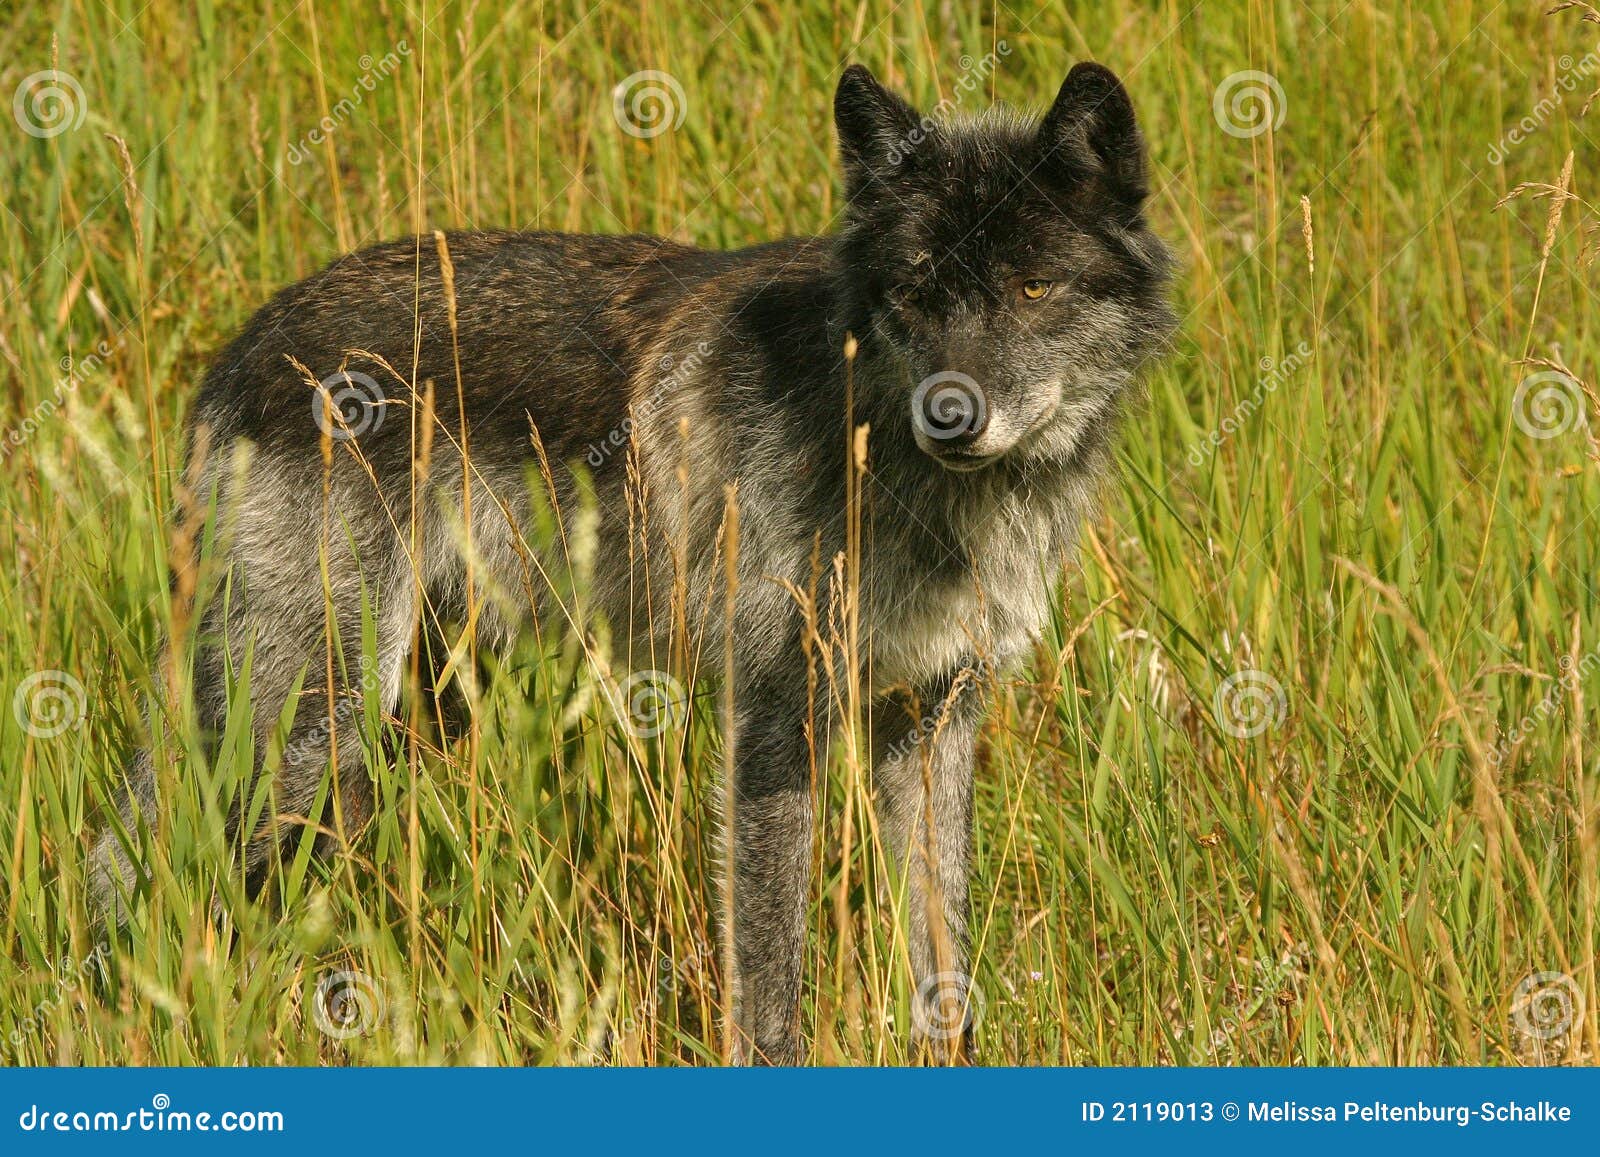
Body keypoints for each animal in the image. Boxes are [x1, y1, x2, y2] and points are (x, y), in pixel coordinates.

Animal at [91, 61, 1174, 1063]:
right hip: (309, 721)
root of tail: (244, 347)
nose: (951, 417)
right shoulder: (776, 716)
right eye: (914, 293)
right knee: (151, 864)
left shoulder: (935, 712)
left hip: (408, 709)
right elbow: (769, 979)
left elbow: (939, 952)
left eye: (1032, 287)